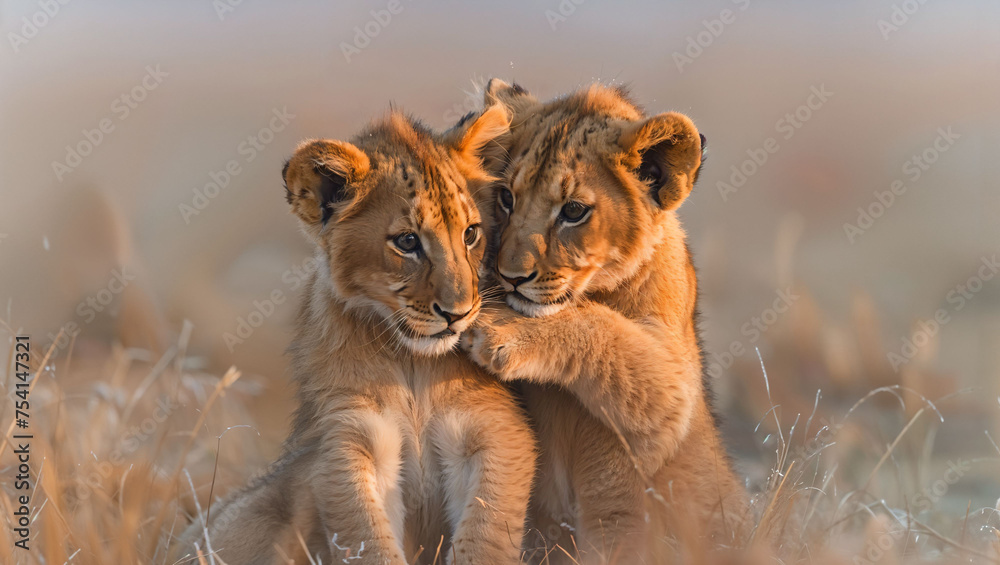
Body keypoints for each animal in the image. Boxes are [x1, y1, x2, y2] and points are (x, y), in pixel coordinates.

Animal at [173, 106, 536, 565]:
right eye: (407, 241)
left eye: (470, 233)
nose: (457, 314)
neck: (412, 362)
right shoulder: (348, 437)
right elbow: (368, 539)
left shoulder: (495, 428)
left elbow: (485, 536)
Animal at [461, 81, 747, 563]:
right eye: (507, 198)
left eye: (574, 211)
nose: (511, 276)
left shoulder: (676, 391)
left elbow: (606, 329)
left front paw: (498, 326)